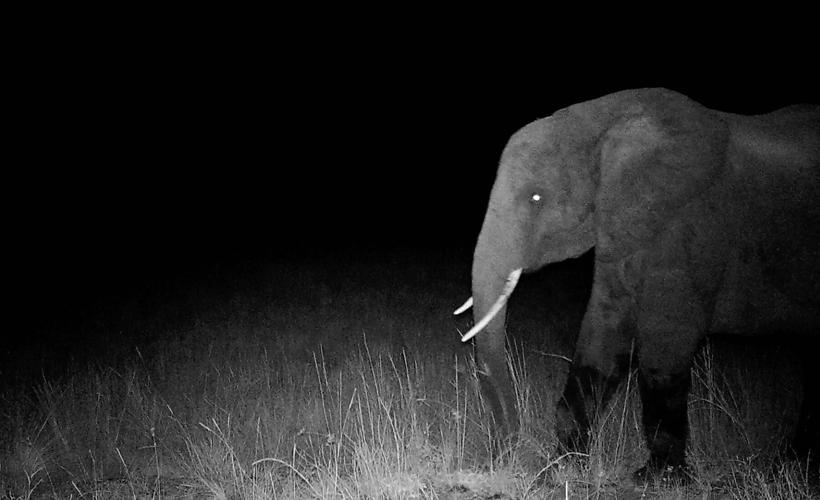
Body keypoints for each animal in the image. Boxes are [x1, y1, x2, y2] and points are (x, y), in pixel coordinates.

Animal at [455, 88, 820, 478]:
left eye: (536, 198)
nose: (505, 453)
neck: (602, 121)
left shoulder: (687, 226)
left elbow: (666, 341)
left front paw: (659, 477)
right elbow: (604, 332)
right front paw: (564, 465)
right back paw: (793, 463)